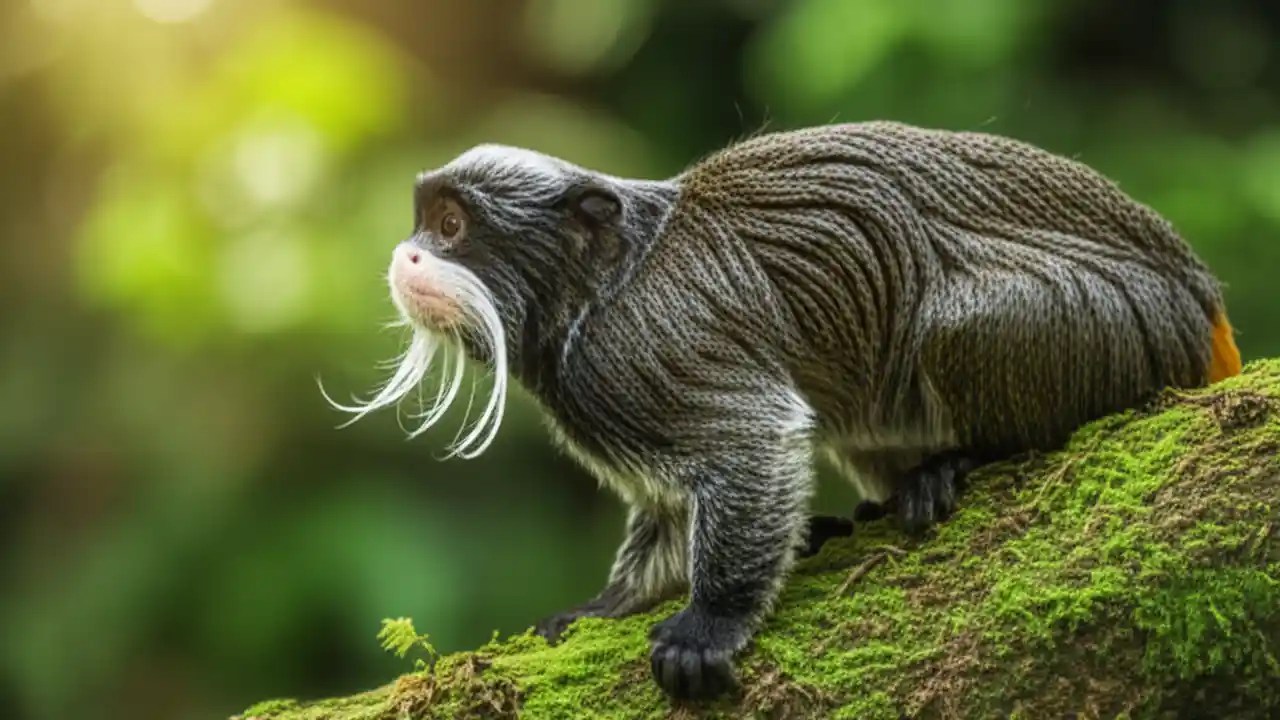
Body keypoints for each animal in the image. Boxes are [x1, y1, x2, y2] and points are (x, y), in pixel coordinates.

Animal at [323, 121, 1243, 703]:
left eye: (451, 226)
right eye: (422, 223)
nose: (406, 256)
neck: (600, 289)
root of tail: (1199, 297)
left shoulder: (647, 345)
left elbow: (751, 444)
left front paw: (711, 624)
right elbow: (666, 514)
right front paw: (610, 604)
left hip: (1121, 323)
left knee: (954, 324)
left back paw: (954, 465)